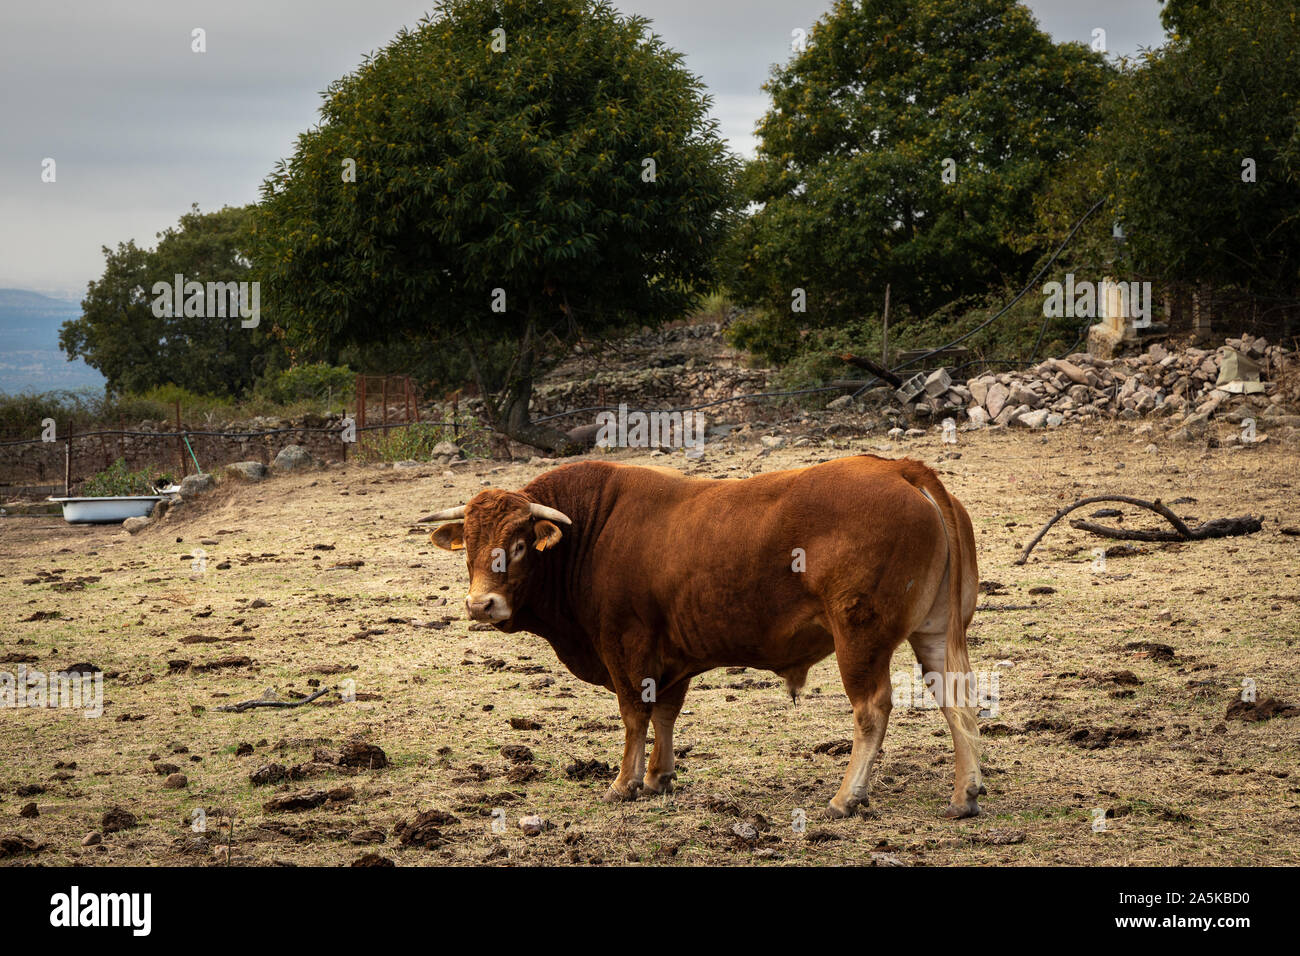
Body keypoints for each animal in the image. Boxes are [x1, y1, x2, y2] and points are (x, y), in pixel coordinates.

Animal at [422, 455, 983, 819]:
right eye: (469, 542)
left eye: (519, 545)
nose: (480, 605)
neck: (594, 531)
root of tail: (899, 468)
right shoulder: (671, 655)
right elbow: (666, 714)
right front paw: (658, 776)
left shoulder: (626, 646)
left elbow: (635, 714)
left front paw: (624, 783)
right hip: (936, 632)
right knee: (957, 701)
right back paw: (965, 794)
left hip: (859, 638)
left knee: (871, 709)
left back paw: (847, 797)